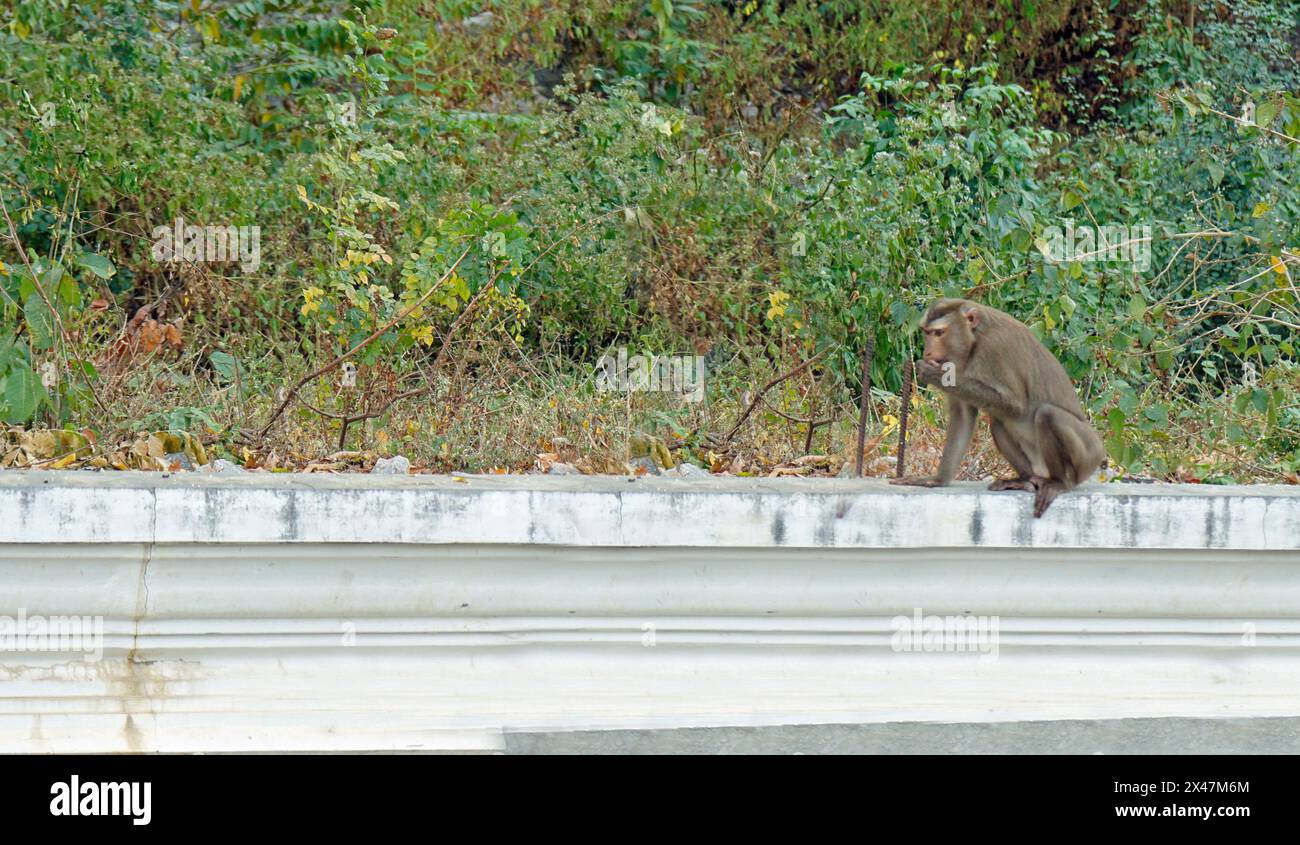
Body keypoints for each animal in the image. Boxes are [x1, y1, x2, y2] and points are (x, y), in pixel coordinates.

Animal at [891, 298, 1105, 517]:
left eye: (939, 333)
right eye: (927, 332)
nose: (927, 351)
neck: (975, 340)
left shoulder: (995, 348)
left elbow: (1016, 405)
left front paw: (935, 374)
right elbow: (963, 415)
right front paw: (936, 480)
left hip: (1087, 458)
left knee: (1047, 414)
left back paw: (1060, 482)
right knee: (998, 422)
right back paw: (1025, 480)